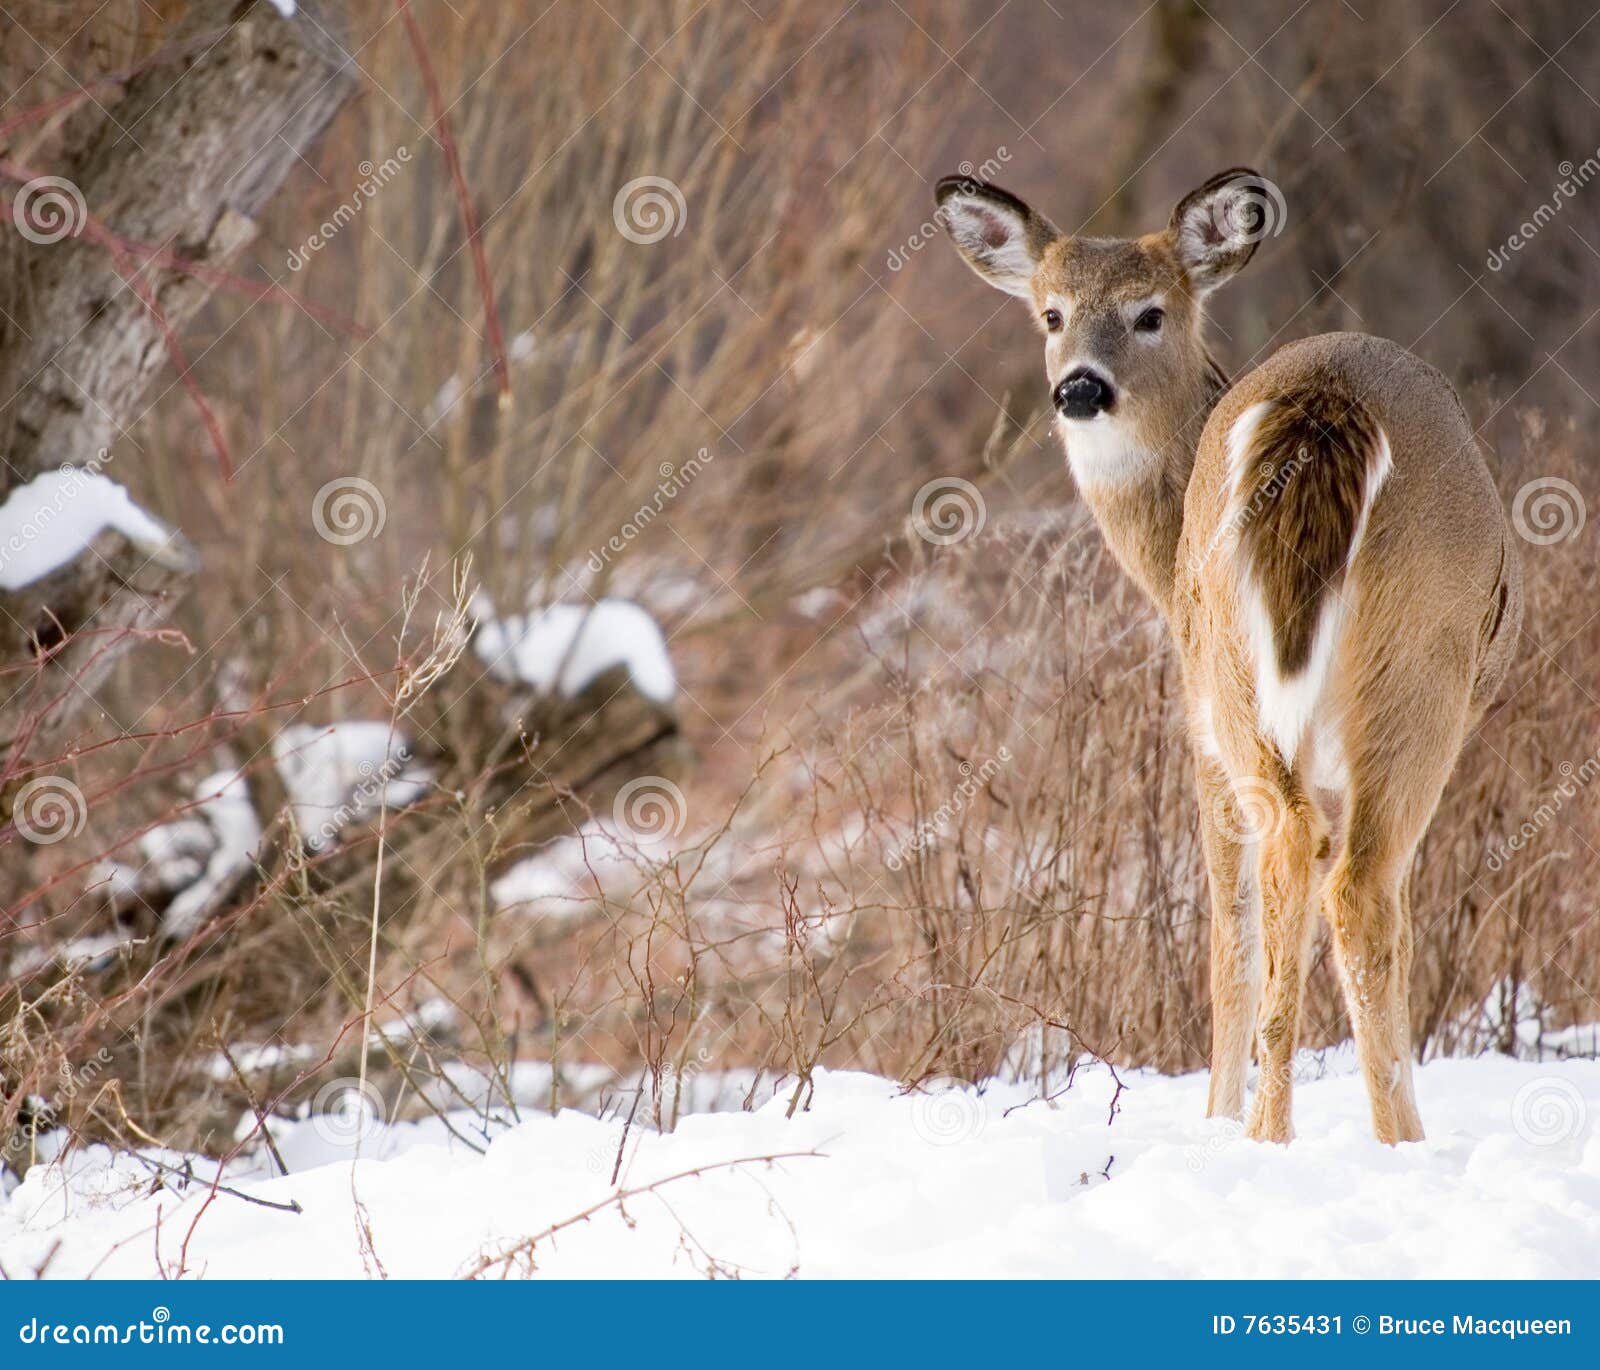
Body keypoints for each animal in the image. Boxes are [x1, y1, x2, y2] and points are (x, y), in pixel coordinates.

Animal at [936, 168, 1521, 1145]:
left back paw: (1280, 1135)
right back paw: (1381, 1137)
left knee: (1307, 864)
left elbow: (1228, 940)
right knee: (1354, 882)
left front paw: (1214, 1117)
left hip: (1258, 674)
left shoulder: (1200, 731)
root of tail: (1324, 408)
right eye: (1051, 314)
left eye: (1150, 313)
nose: (1080, 389)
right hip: (1409, 667)